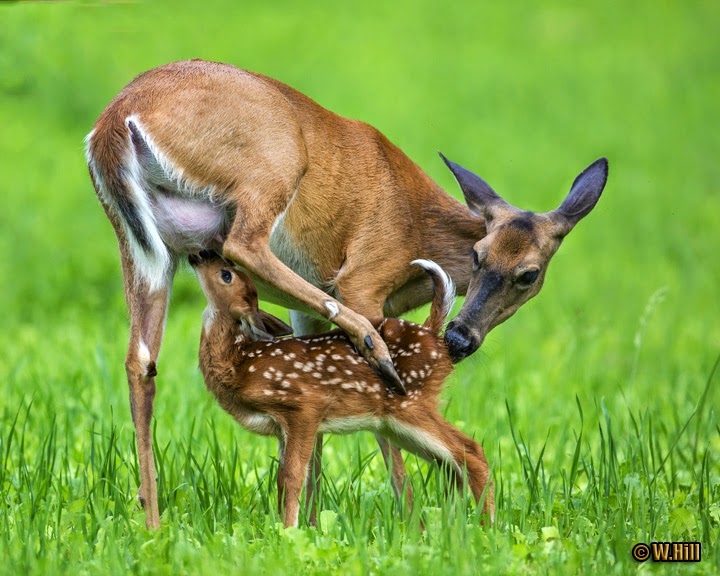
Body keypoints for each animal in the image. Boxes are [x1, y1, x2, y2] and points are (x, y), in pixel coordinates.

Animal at [190, 251, 494, 526]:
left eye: (226, 274)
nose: (201, 253)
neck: (240, 362)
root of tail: (433, 336)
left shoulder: (305, 405)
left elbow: (292, 476)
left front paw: (288, 530)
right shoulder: (279, 428)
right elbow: (281, 477)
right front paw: (281, 528)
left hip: (413, 403)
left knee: (470, 451)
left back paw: (487, 526)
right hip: (392, 424)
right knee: (449, 463)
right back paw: (451, 527)